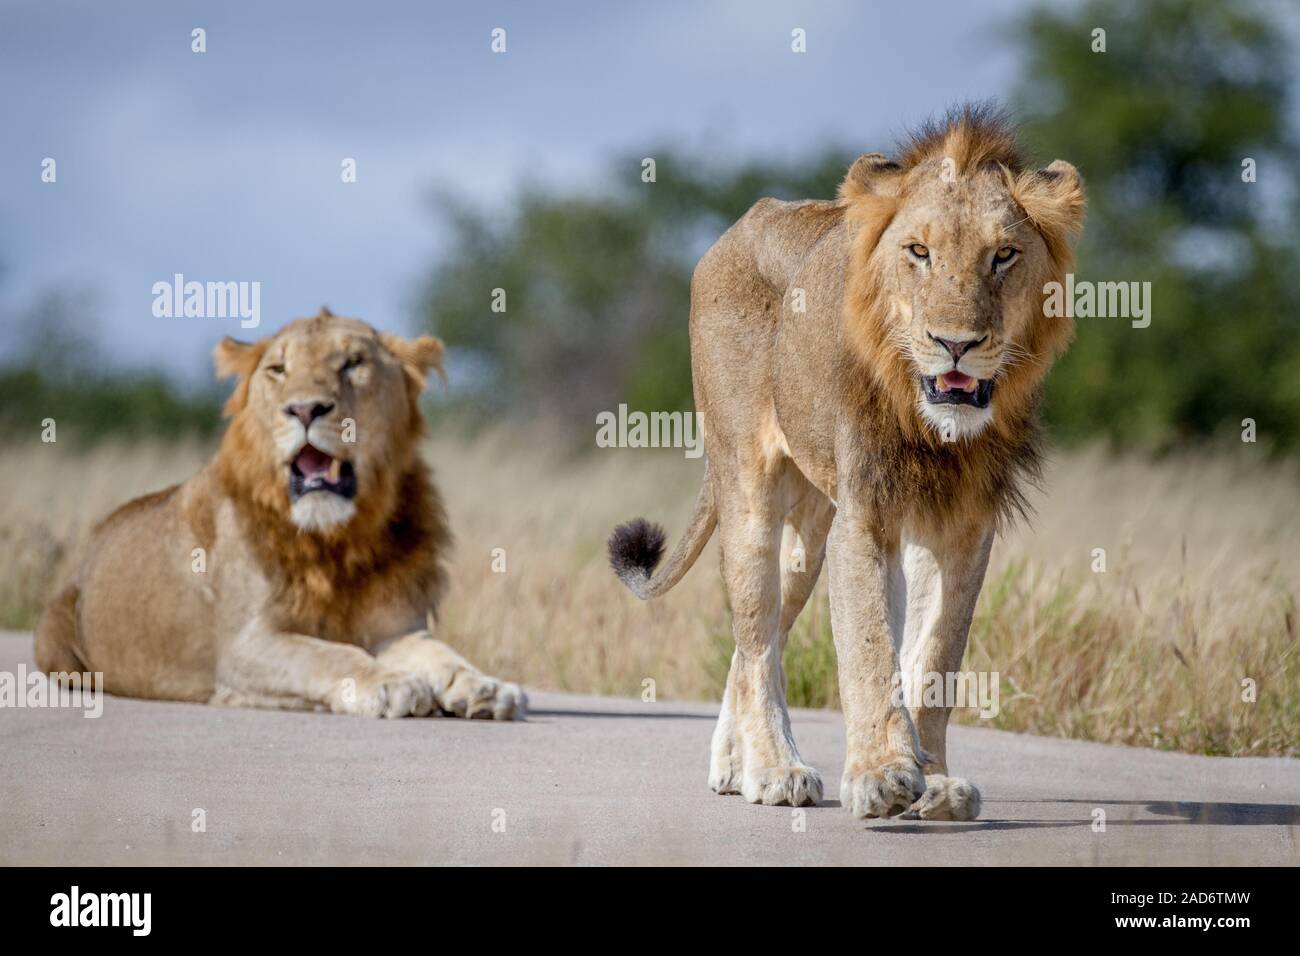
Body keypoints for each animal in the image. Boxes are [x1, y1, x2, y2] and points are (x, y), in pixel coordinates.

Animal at [35, 308, 525, 720]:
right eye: (278, 370)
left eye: (353, 363)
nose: (305, 409)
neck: (339, 536)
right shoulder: (244, 646)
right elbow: (327, 654)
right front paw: (387, 683)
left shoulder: (397, 627)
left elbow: (442, 654)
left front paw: (486, 687)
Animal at [609, 104, 1084, 820]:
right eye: (919, 252)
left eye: (1004, 255)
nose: (955, 344)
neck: (933, 430)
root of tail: (738, 228)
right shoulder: (865, 515)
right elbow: (866, 646)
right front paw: (882, 775)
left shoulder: (963, 529)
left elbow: (935, 655)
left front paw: (934, 782)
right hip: (749, 492)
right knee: (756, 637)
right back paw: (775, 770)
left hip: (808, 532)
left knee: (758, 641)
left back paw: (733, 764)